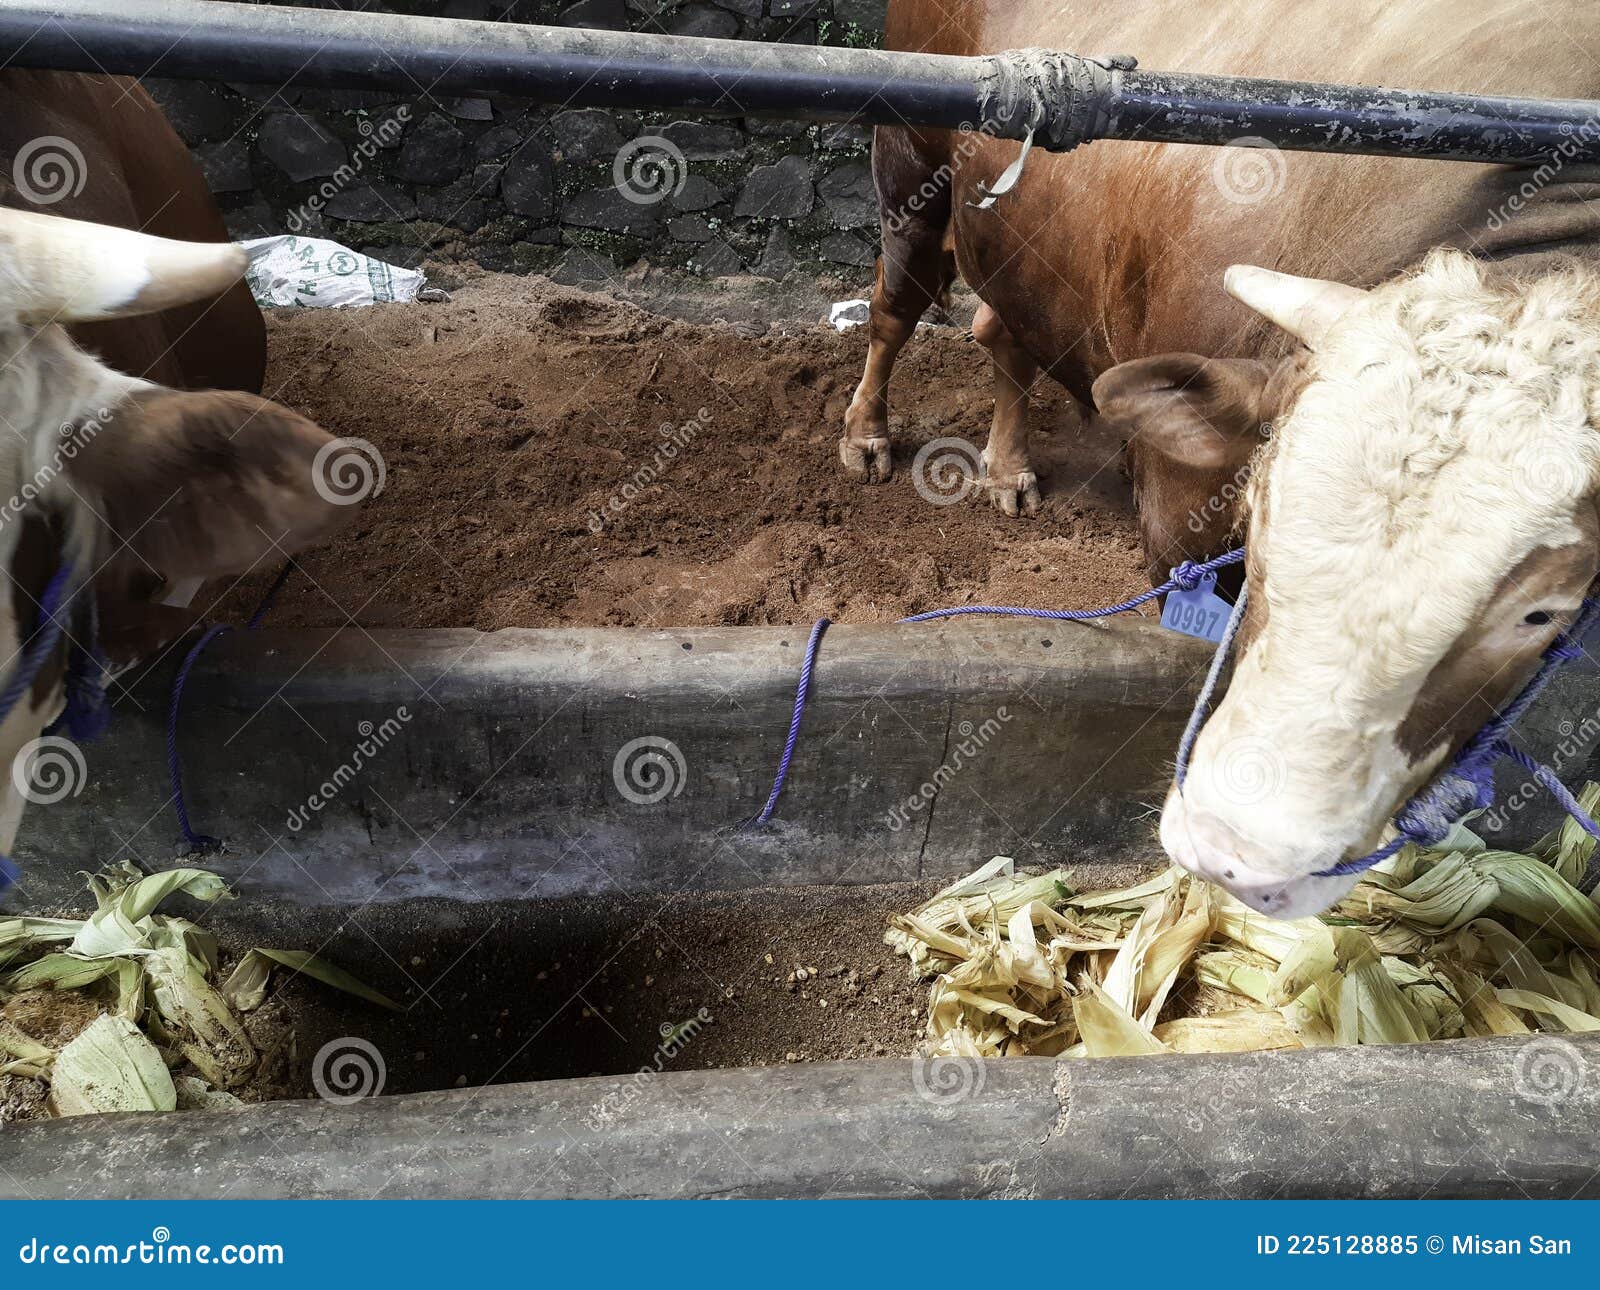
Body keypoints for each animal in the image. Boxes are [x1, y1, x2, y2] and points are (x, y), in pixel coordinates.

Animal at [849, 0, 1600, 915]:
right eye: (1265, 514)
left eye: (1543, 614)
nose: (1236, 855)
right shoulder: (1179, 509)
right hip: (910, 170)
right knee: (895, 307)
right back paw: (866, 435)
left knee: (1003, 332)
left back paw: (1005, 467)